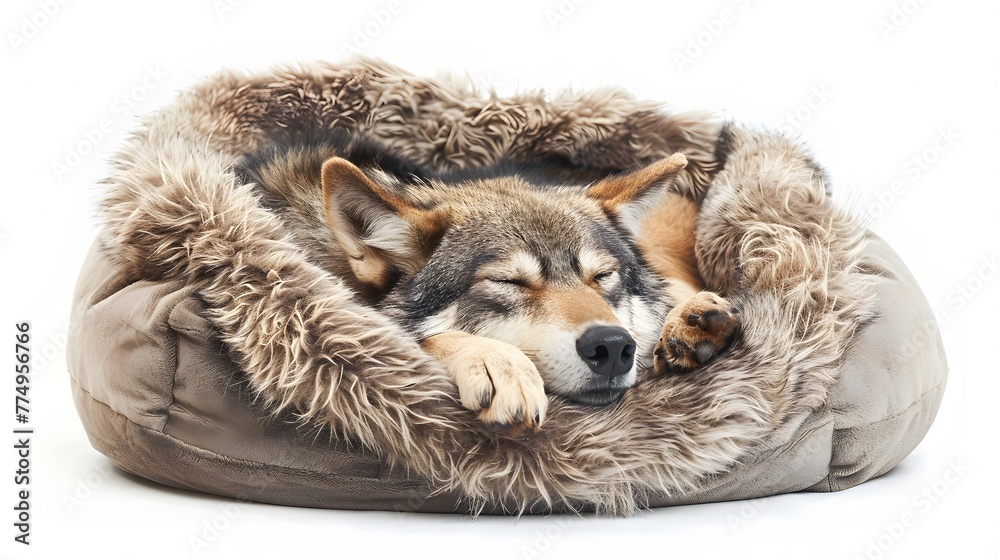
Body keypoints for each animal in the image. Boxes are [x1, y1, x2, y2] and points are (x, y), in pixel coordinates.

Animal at [235, 134, 740, 434]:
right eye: (507, 281)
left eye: (602, 277)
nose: (613, 345)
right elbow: (425, 339)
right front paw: (499, 363)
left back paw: (692, 321)